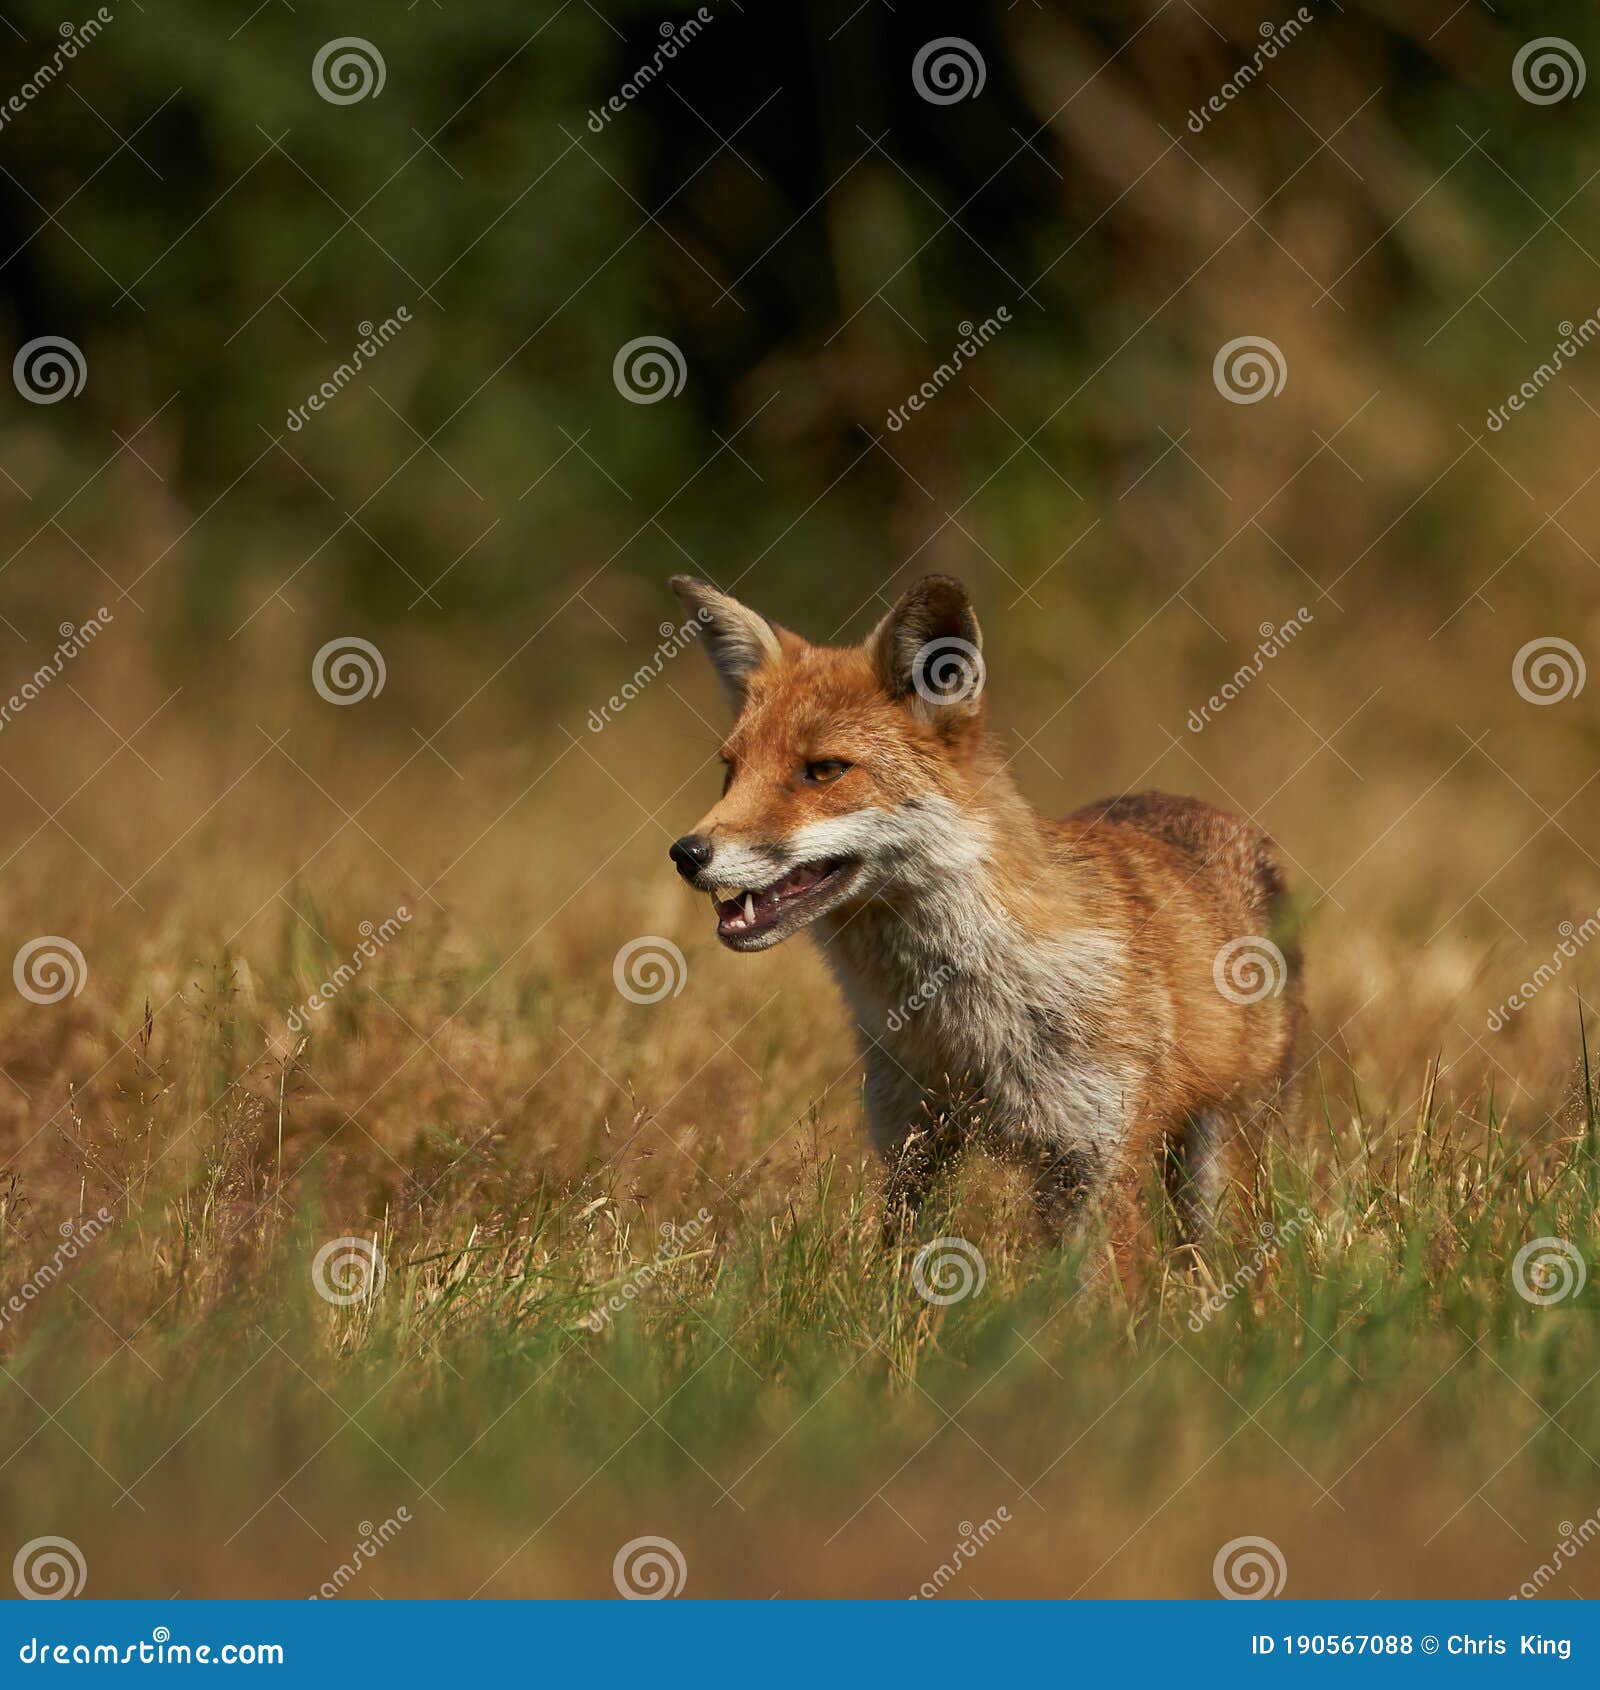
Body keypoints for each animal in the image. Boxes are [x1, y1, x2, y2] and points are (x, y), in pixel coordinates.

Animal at [666, 572, 1304, 1262]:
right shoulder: (912, 1147)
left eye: (824, 770)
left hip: (1221, 1160)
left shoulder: (1093, 1160)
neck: (962, 1025)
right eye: (731, 773)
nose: (686, 854)